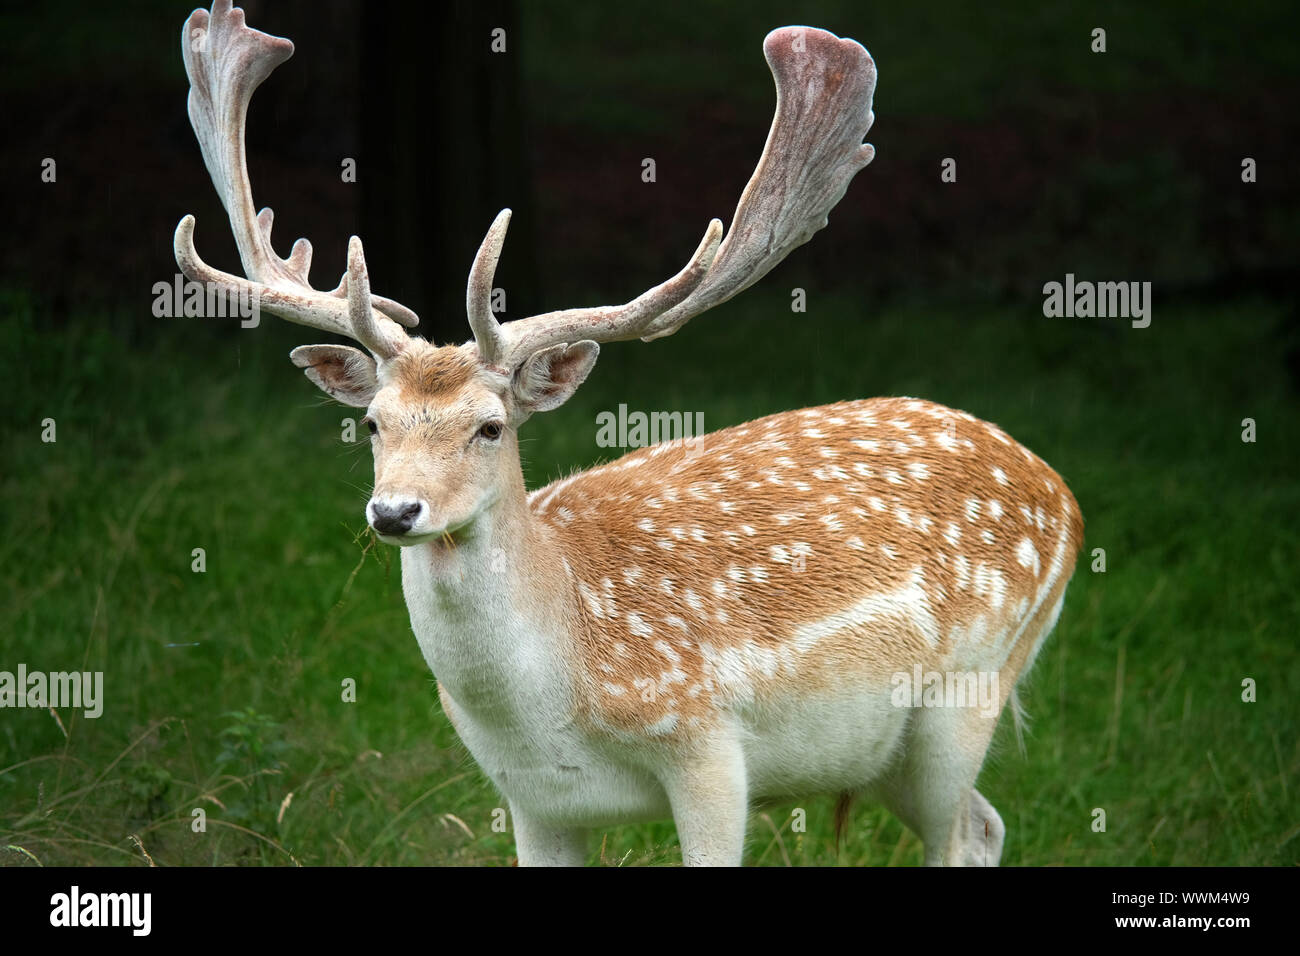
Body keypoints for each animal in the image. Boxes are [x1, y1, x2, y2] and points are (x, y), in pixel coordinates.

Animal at [174, 0, 1084, 866]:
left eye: (490, 427)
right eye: (371, 422)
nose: (394, 513)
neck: (558, 694)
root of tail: (1062, 494)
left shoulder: (709, 747)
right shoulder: (531, 799)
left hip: (970, 691)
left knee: (964, 833)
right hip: (885, 750)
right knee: (987, 822)